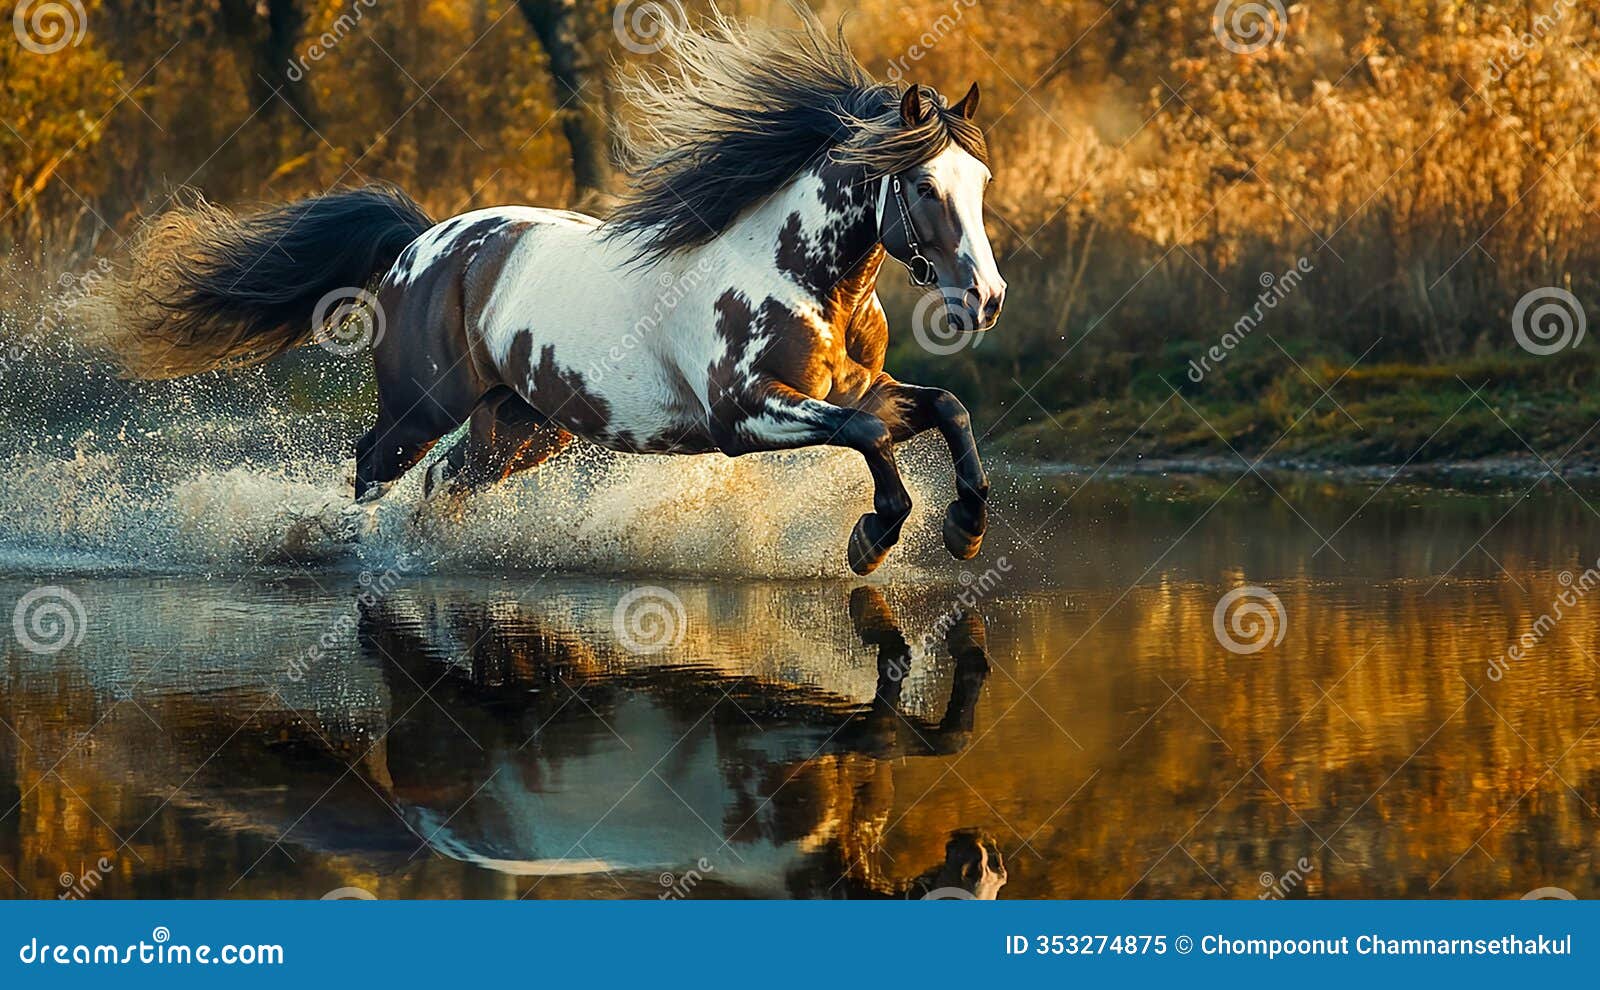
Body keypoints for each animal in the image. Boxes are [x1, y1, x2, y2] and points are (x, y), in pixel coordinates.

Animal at [103, 9, 1006, 576]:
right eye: (924, 185)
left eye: (982, 180)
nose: (987, 298)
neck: (798, 277)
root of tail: (422, 244)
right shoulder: (745, 416)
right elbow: (868, 435)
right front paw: (873, 537)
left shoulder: (861, 388)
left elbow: (943, 408)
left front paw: (964, 530)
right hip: (421, 409)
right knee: (370, 468)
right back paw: (361, 557)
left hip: (520, 427)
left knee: (443, 484)